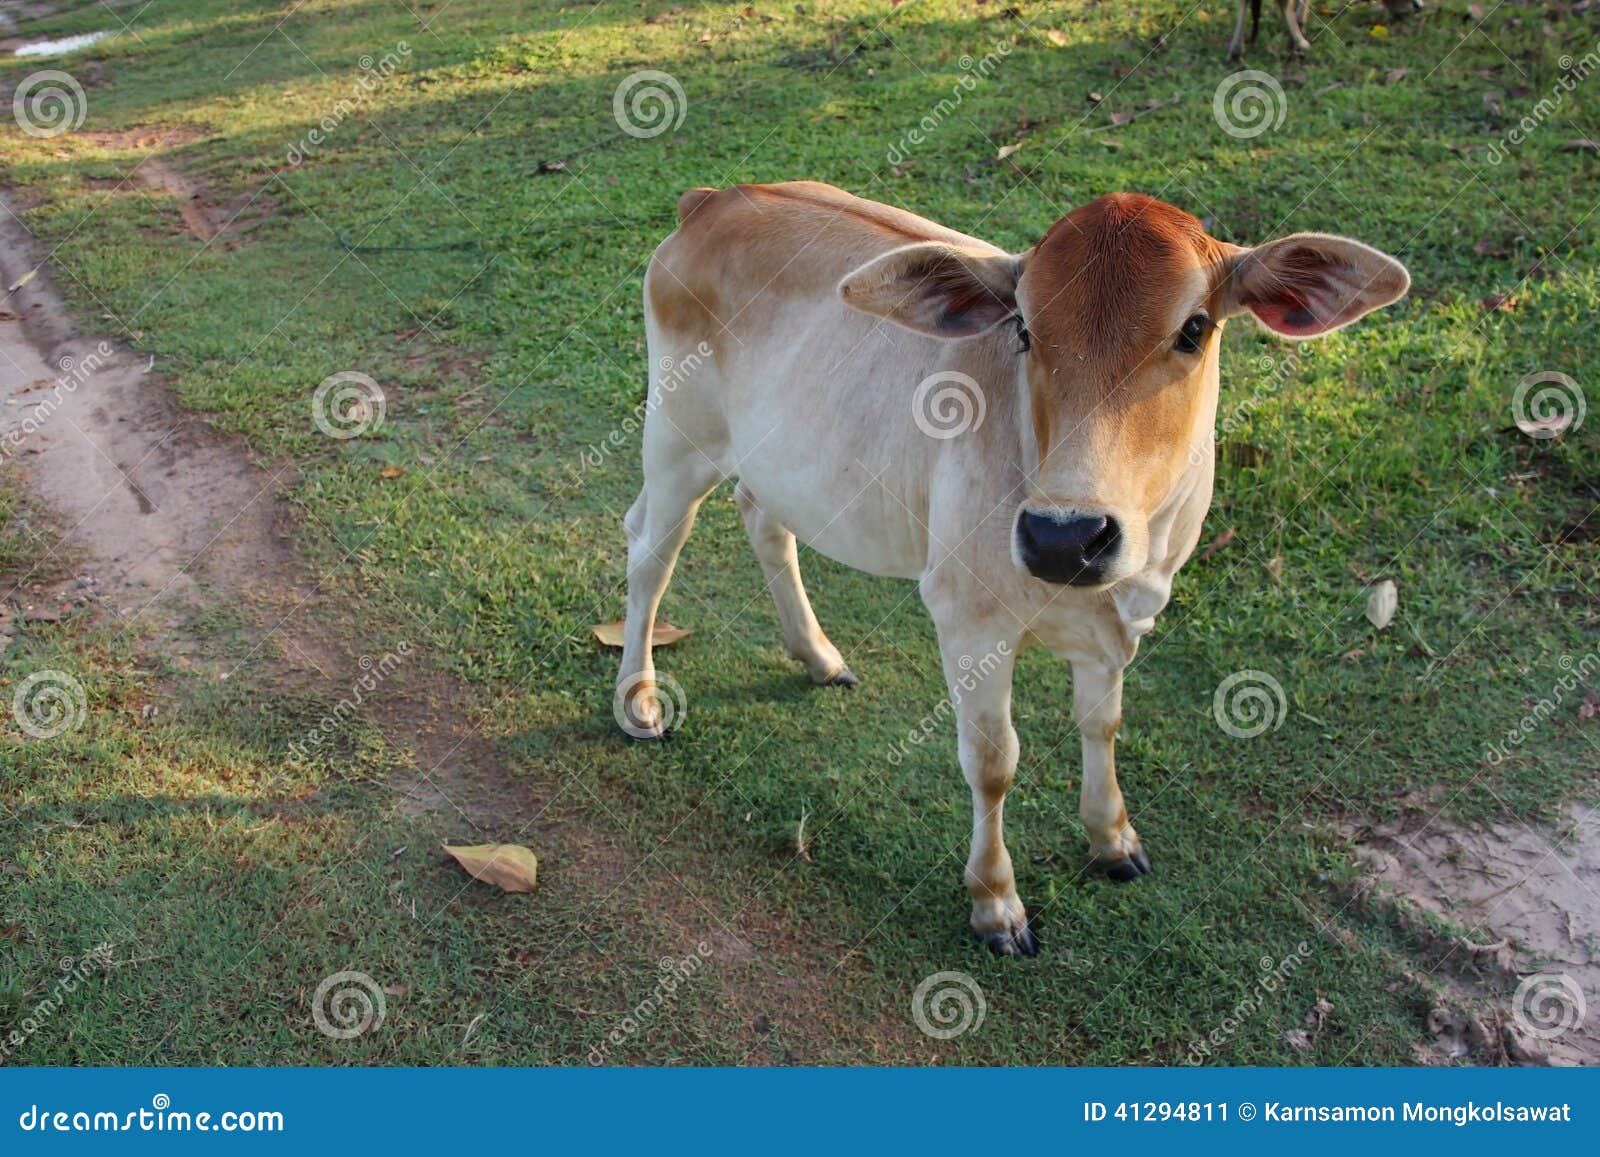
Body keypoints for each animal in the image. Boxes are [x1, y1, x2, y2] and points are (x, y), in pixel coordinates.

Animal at [615, 182, 1408, 955]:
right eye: (1023, 327)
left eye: (1194, 328)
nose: (1066, 536)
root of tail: (714, 199)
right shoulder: (968, 619)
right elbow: (994, 761)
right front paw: (995, 901)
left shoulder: (1116, 623)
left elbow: (1102, 723)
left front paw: (1112, 837)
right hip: (677, 438)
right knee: (648, 549)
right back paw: (639, 699)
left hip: (777, 461)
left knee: (763, 519)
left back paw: (816, 654)